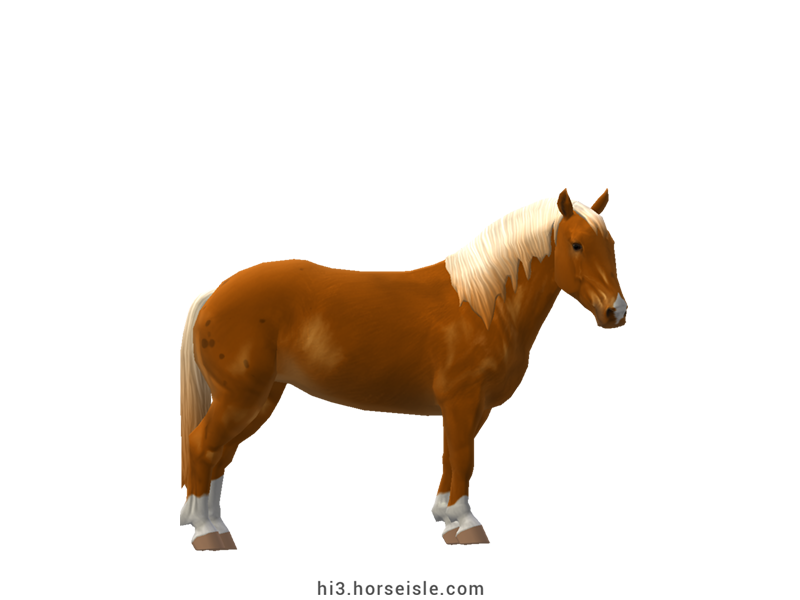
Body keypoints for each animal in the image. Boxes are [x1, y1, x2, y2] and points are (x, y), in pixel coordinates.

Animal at [180, 190, 627, 545]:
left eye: (607, 241)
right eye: (576, 244)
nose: (615, 310)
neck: (485, 306)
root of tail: (213, 296)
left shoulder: (468, 405)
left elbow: (451, 456)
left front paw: (447, 519)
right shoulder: (461, 399)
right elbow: (463, 455)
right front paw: (467, 522)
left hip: (251, 404)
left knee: (215, 454)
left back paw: (210, 522)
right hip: (239, 399)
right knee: (201, 445)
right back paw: (204, 532)